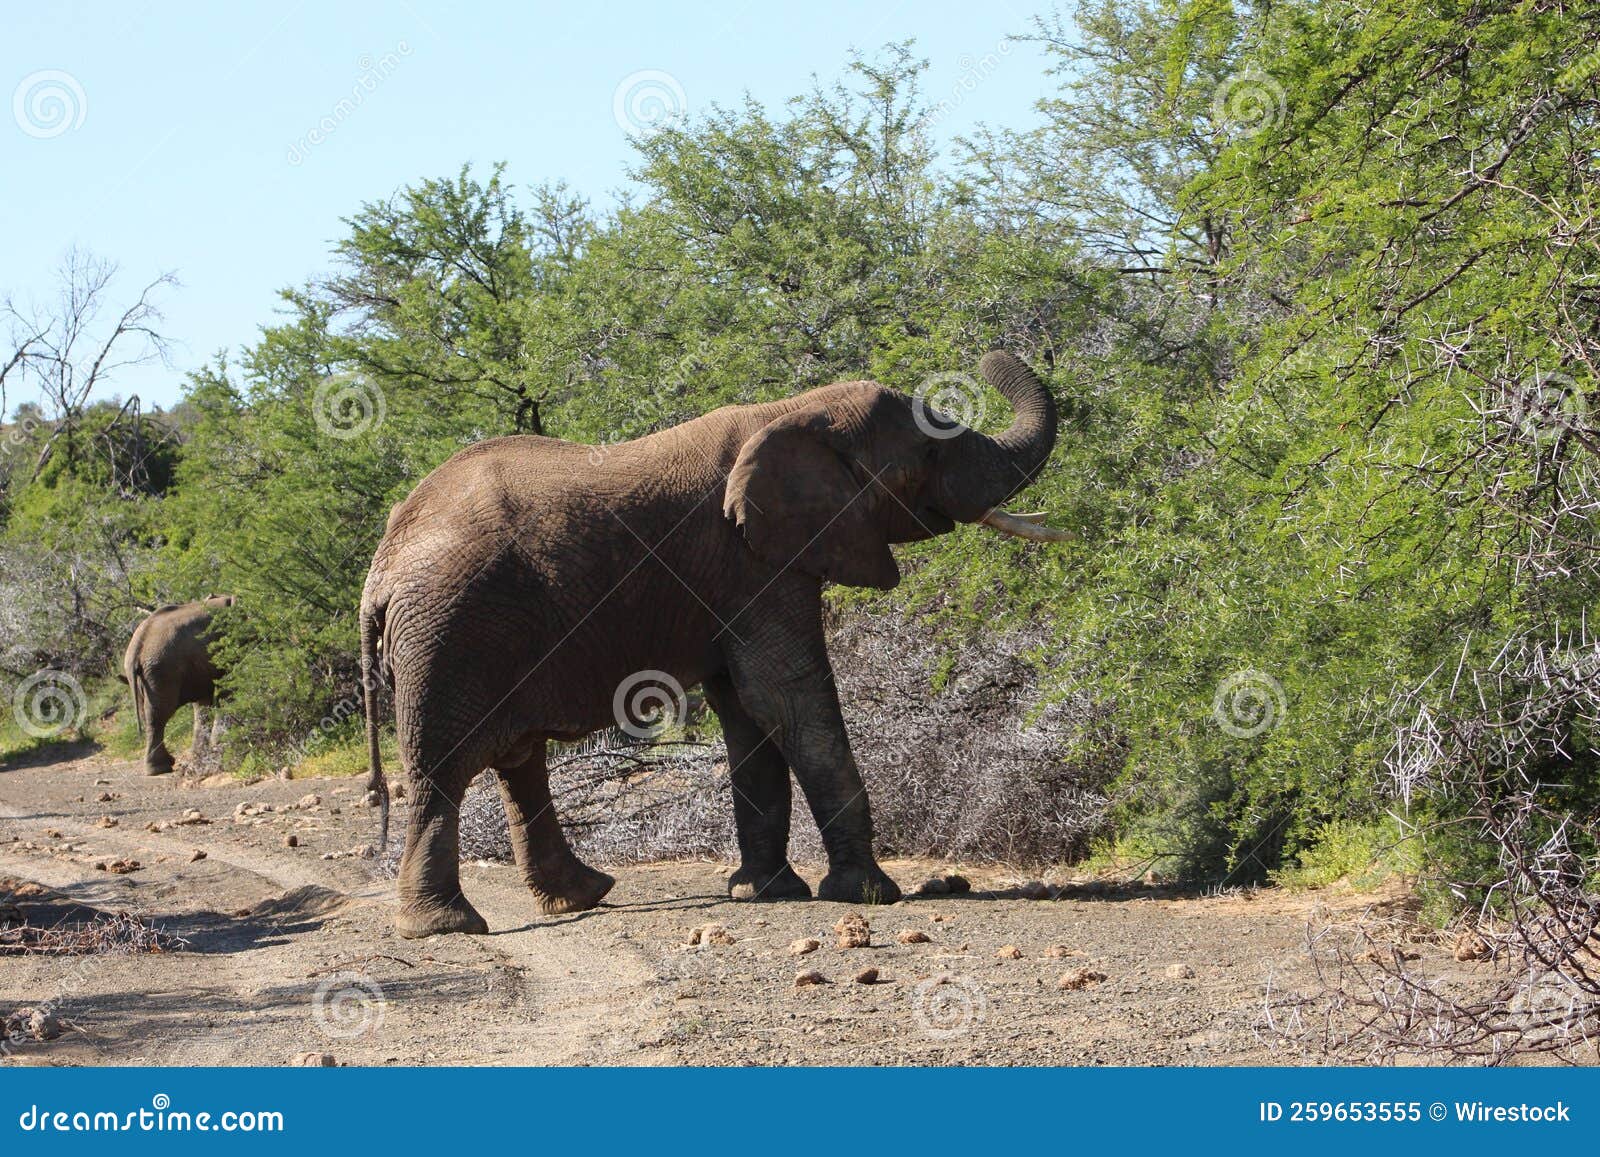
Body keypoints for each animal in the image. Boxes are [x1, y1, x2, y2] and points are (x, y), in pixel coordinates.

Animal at [121, 595, 235, 775]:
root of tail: (136, 649)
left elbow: (202, 703)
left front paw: (202, 752)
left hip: (147, 674)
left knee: (149, 713)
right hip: (162, 668)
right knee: (160, 714)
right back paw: (160, 768)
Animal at [361, 351, 1068, 938]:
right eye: (927, 456)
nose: (991, 354)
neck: (790, 411)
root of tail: (382, 565)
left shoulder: (738, 577)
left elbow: (747, 710)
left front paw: (764, 893)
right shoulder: (753, 564)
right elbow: (785, 696)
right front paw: (867, 893)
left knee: (517, 761)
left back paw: (583, 896)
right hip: (450, 634)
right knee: (444, 767)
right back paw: (446, 927)